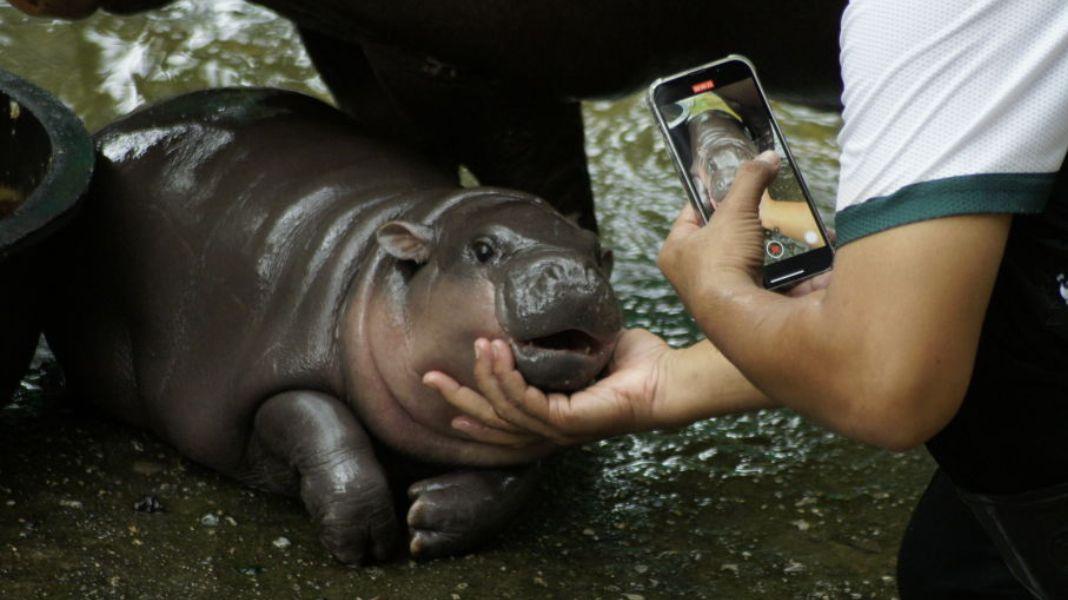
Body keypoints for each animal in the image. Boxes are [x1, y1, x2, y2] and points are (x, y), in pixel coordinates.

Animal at [44, 88, 622, 562]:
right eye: (483, 250)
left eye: (599, 252)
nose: (570, 271)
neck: (374, 266)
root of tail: (110, 134)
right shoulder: (272, 379)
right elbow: (325, 428)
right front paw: (366, 544)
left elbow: (513, 480)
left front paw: (430, 521)